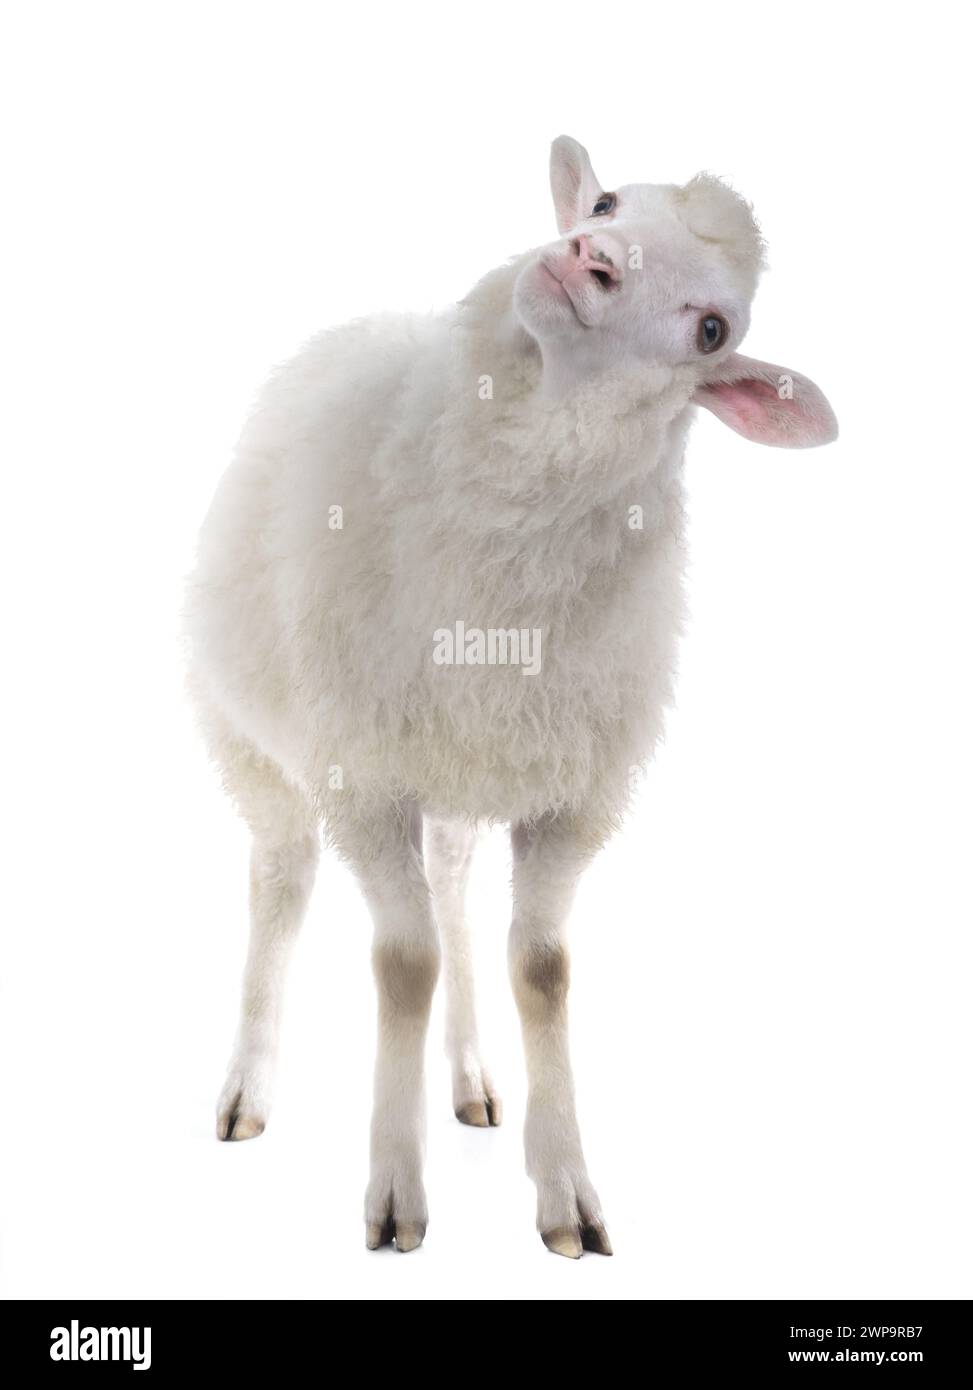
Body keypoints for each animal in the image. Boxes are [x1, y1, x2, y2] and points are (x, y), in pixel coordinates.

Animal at [185, 135, 838, 1258]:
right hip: (255, 743)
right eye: (609, 201)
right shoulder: (366, 779)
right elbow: (402, 964)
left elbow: (541, 969)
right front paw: (395, 1192)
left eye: (711, 329)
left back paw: (470, 1079)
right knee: (281, 883)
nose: (586, 256)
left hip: (463, 763)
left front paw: (565, 1187)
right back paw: (248, 1088)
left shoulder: (571, 801)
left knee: (451, 894)